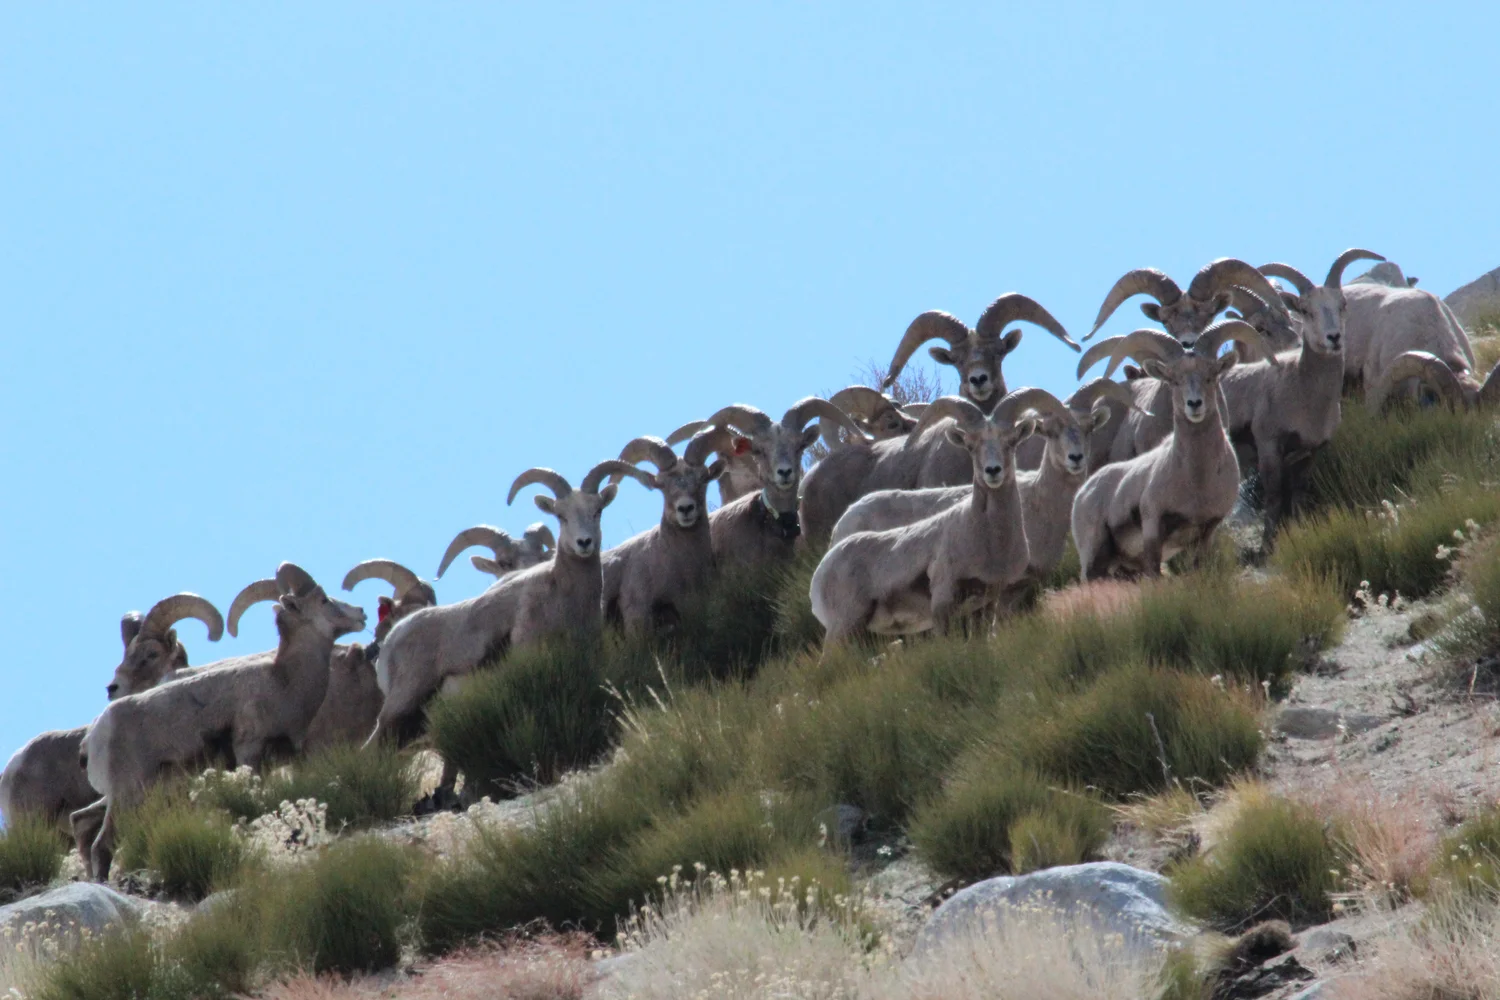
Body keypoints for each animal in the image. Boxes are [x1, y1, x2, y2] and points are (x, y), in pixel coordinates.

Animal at [74, 565, 365, 879]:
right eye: (323, 599)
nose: (361, 613)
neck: (284, 680)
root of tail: (91, 739)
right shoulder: (249, 751)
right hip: (125, 798)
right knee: (102, 847)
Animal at [368, 460, 648, 748]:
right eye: (561, 515)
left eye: (598, 511)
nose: (584, 543)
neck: (565, 596)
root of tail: (392, 639)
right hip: (401, 705)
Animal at [809, 390, 1043, 646]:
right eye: (971, 446)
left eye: (1010, 442)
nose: (992, 471)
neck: (989, 538)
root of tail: (821, 571)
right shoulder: (942, 606)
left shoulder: (986, 604)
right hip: (843, 629)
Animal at [1071, 320, 1270, 580]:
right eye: (1174, 380)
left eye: (1211, 376)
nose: (1194, 404)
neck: (1196, 480)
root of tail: (1083, 493)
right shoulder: (1154, 529)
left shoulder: (1206, 532)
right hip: (1094, 560)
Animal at [1216, 250, 1384, 539]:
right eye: (1306, 310)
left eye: (1342, 304)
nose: (1334, 338)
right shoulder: (1270, 447)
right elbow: (1273, 499)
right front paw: (1268, 543)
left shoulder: (1308, 454)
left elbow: (1297, 497)